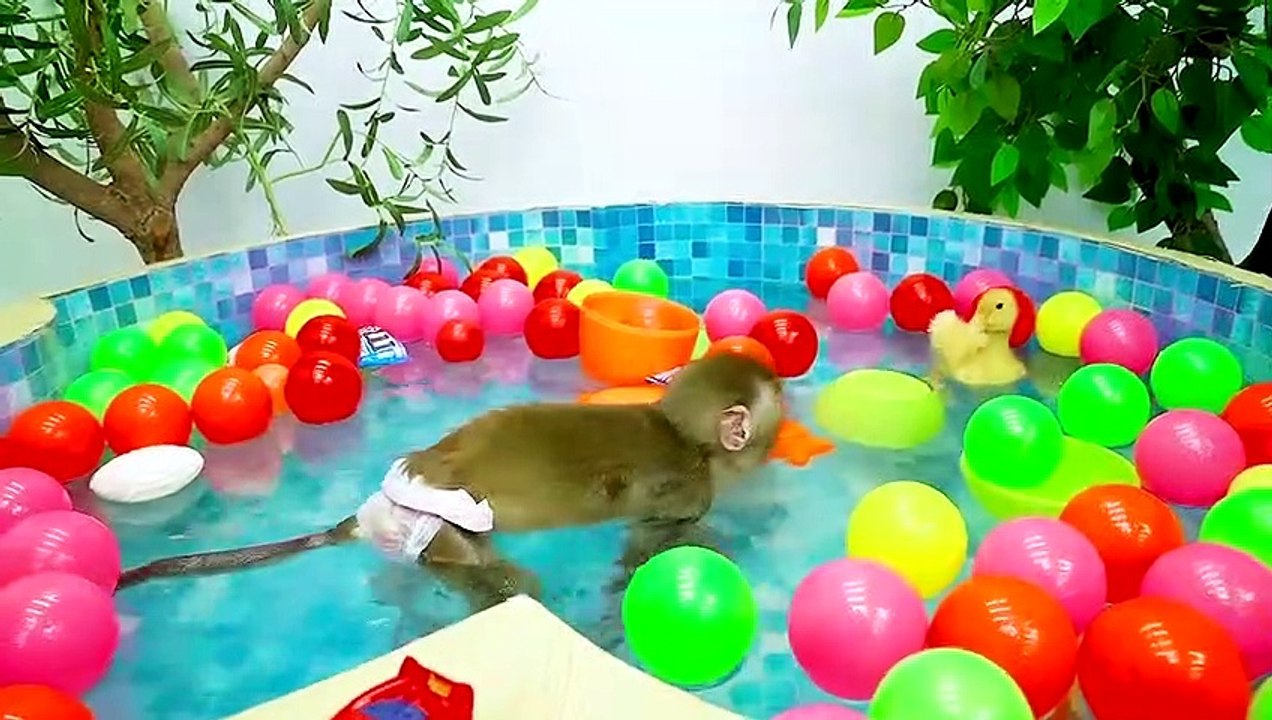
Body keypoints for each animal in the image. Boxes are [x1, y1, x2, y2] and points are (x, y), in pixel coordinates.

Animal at [116, 353, 785, 615]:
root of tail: (379, 503)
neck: (681, 433)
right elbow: (652, 543)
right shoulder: (689, 489)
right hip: (437, 531)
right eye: (775, 414)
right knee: (509, 584)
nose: (780, 431)